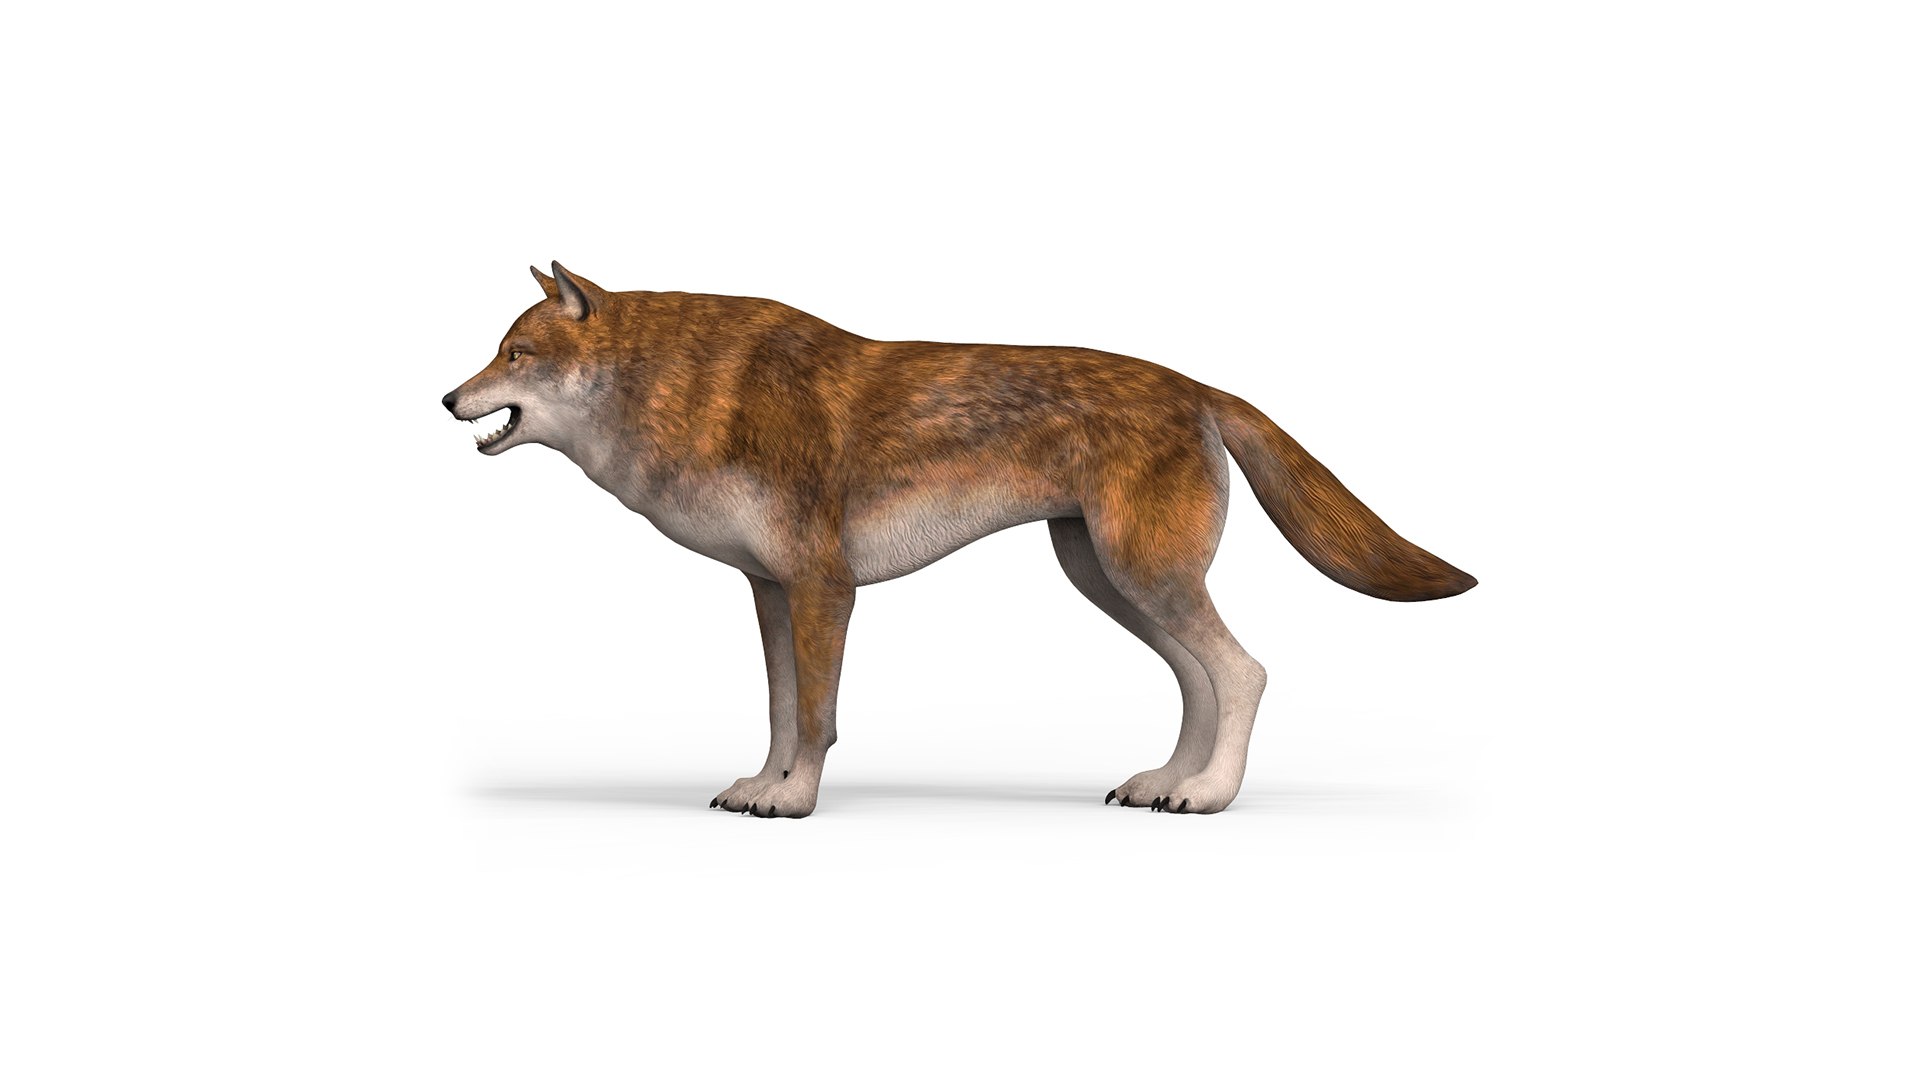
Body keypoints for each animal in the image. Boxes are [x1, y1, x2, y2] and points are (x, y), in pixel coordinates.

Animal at [443, 263, 1475, 817]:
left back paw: (1211, 794)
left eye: (514, 355)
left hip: (1140, 576)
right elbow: (780, 711)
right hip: (1110, 580)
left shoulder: (824, 589)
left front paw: (796, 799)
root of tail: (1200, 388)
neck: (680, 389)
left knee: (1245, 671)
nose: (448, 398)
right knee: (1199, 678)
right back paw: (1166, 782)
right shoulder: (771, 591)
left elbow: (815, 716)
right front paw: (763, 786)